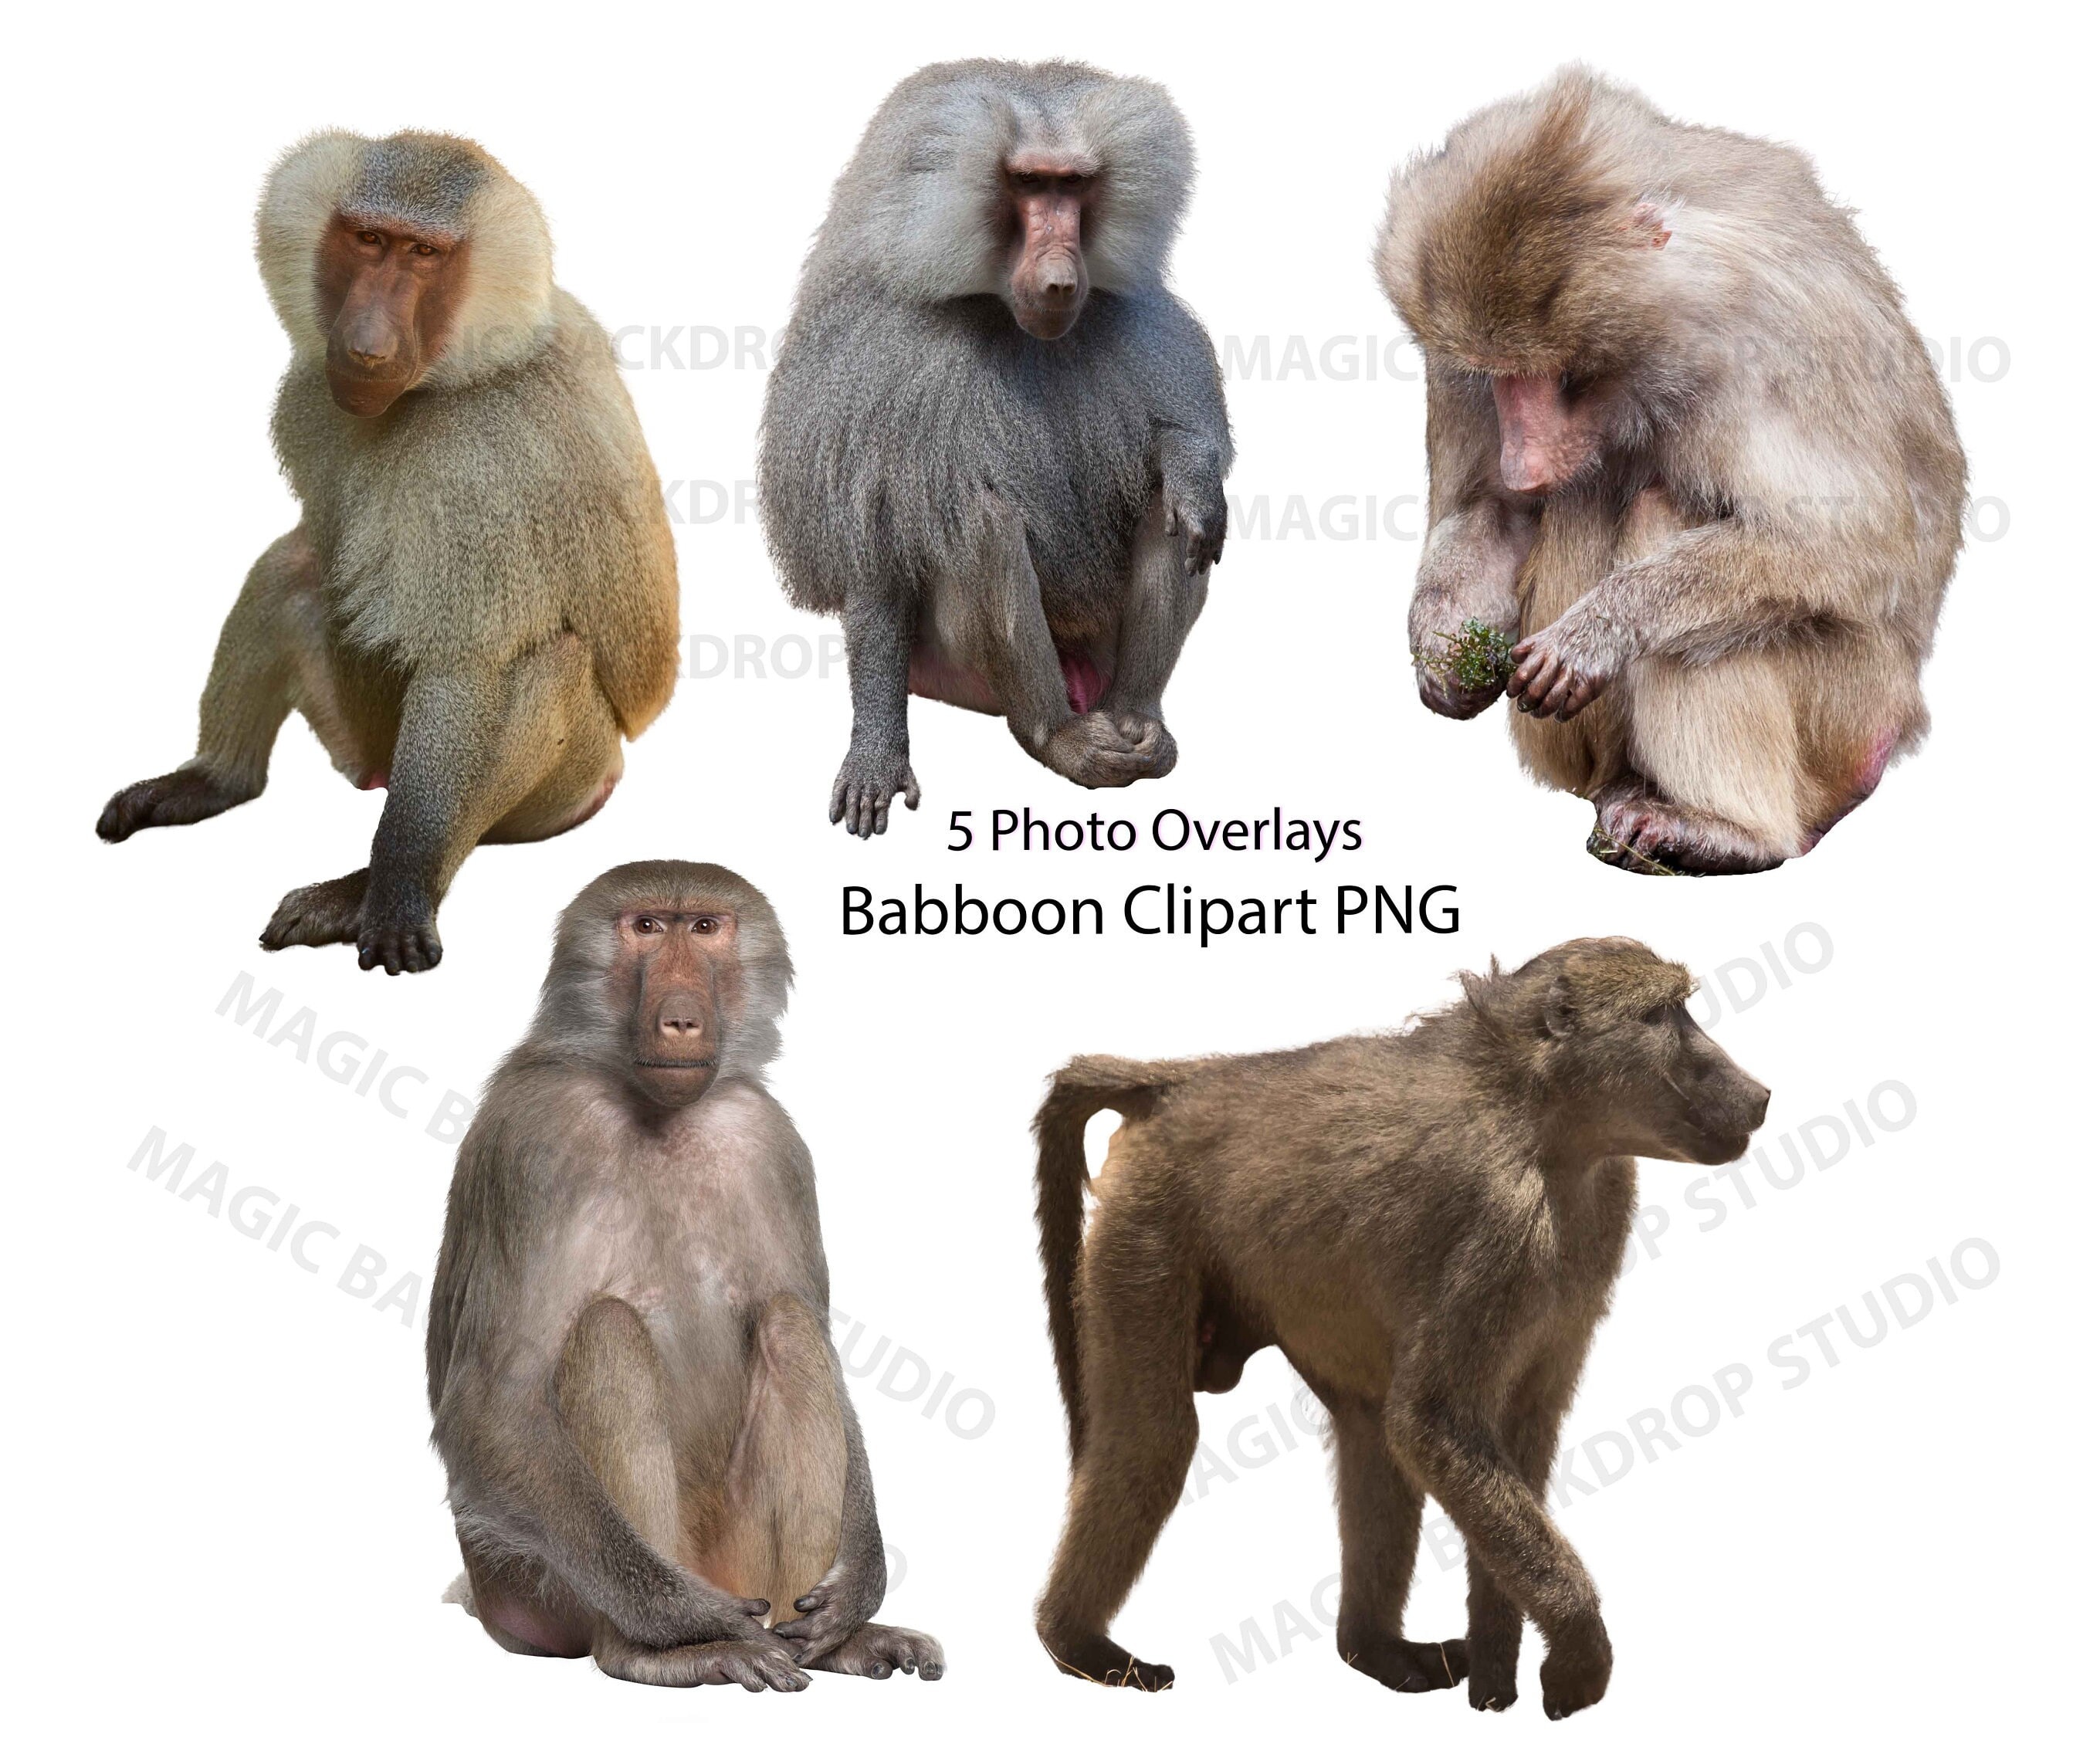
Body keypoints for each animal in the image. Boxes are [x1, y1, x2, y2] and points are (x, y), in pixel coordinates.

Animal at [97, 132, 678, 969]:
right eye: (369, 241)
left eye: (425, 254)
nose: (366, 347)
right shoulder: (311, 395)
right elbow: (321, 554)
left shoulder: (482, 459)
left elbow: (465, 667)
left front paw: (396, 896)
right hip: (363, 740)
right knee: (291, 568)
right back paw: (213, 784)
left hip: (565, 788)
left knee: (544, 664)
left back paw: (358, 889)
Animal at [426, 861, 943, 1691]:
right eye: (645, 928)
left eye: (704, 928)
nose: (679, 1021)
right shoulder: (531, 1138)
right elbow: (493, 1400)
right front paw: (690, 1620)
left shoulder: (772, 1142)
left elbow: (817, 1340)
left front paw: (861, 1585)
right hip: (540, 1583)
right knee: (606, 1331)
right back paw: (659, 1650)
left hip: (749, 1570)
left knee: (791, 1326)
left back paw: (836, 1646)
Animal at [759, 59, 1233, 838]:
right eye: (1027, 183)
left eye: (1074, 186)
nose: (1062, 279)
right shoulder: (869, 363)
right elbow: (876, 546)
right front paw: (875, 757)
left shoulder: (1134, 324)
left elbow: (1181, 454)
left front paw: (1195, 474)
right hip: (957, 666)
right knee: (973, 519)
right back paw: (1062, 740)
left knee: (1171, 514)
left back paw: (1137, 725)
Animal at [1032, 938, 1770, 1715]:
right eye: (1662, 1015)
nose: (1758, 1096)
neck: (1544, 1120)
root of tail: (1180, 1085)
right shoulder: (1502, 1224)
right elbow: (1432, 1424)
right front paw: (1578, 1656)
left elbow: (1507, 1436)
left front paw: (1496, 1677)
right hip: (1146, 1220)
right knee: (1154, 1437)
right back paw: (1077, 1644)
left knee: (1367, 1435)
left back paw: (1374, 1648)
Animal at [1377, 68, 1966, 874]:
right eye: (1494, 378)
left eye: (1560, 374)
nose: (1522, 457)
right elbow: (1496, 509)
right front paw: (1442, 649)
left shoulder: (1772, 340)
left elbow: (1847, 547)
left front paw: (1600, 630)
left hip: (1848, 714)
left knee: (1669, 513)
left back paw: (1730, 833)